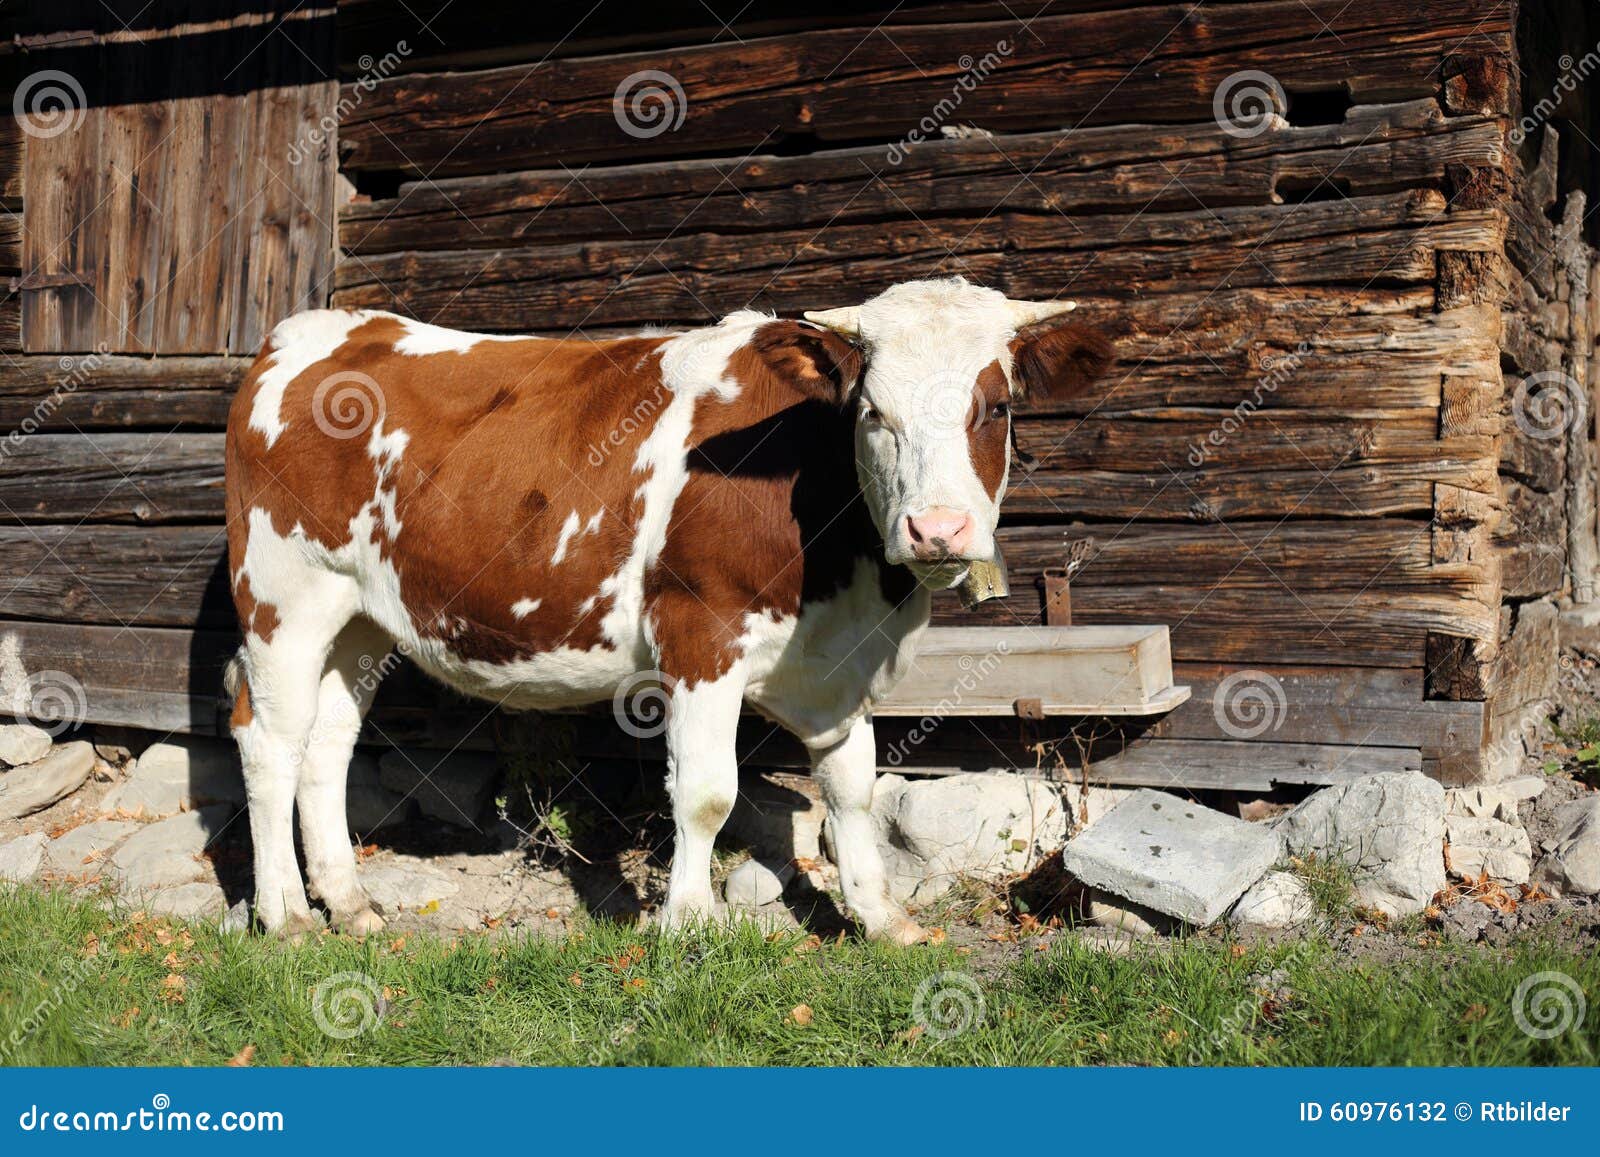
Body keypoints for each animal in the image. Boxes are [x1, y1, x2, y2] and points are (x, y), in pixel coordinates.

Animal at [223, 277, 1112, 942]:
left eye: (995, 408)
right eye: (872, 412)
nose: (937, 529)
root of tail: (314, 331)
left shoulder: (837, 663)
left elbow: (853, 787)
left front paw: (881, 917)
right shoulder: (700, 631)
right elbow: (708, 791)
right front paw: (688, 923)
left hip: (362, 618)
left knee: (326, 744)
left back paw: (349, 904)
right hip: (282, 595)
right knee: (268, 740)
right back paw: (285, 915)